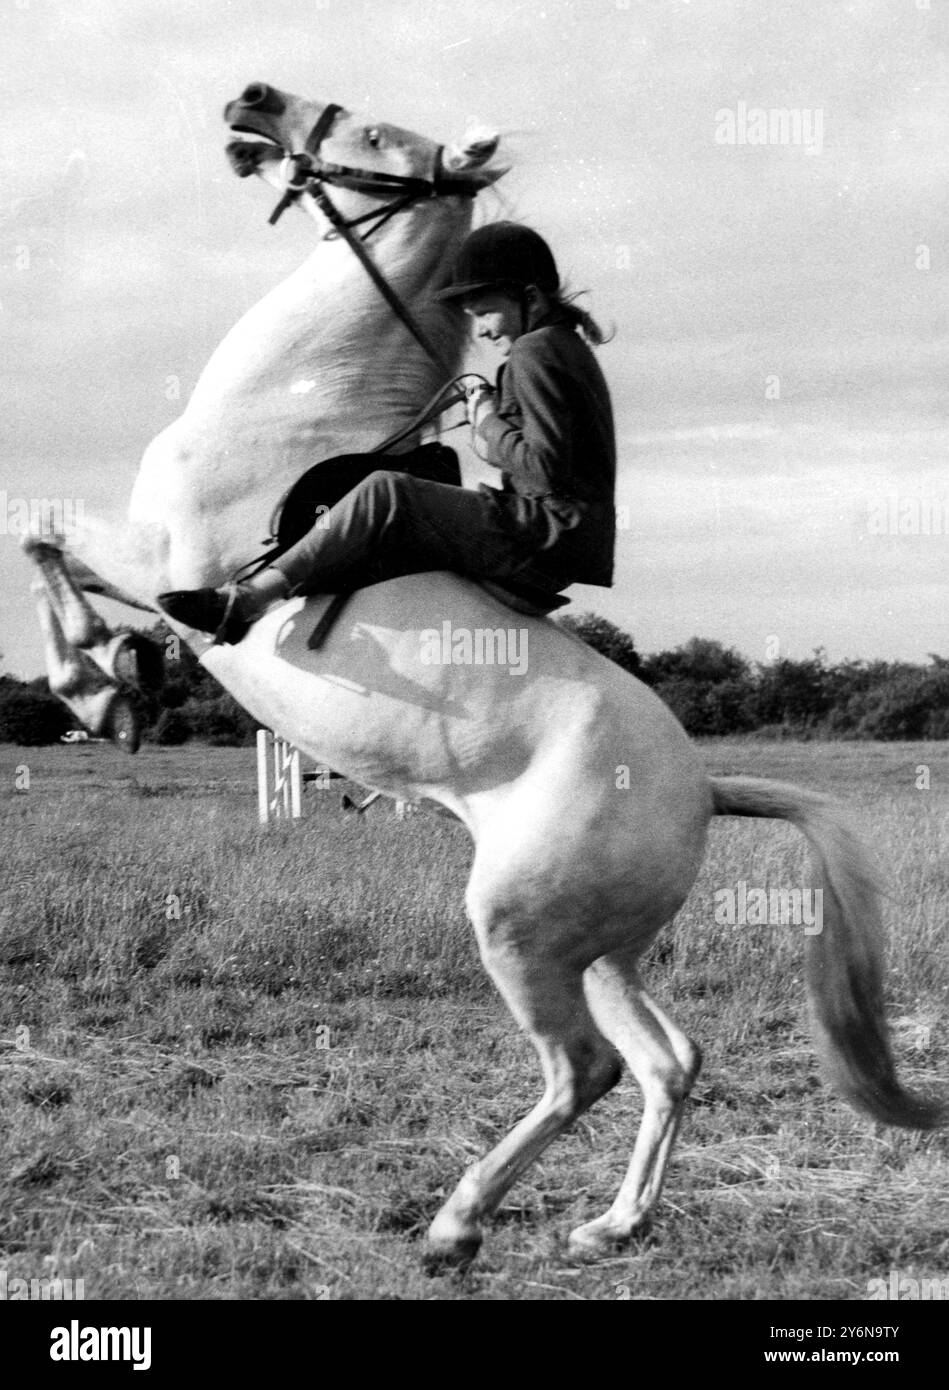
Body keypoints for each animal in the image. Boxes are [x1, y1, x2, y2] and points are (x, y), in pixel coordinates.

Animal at [23, 81, 943, 1270]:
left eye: (371, 133)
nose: (253, 100)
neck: (299, 397)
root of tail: (701, 786)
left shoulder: (162, 556)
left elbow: (39, 528)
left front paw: (101, 686)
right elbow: (48, 545)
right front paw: (117, 678)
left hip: (516, 927)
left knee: (584, 1070)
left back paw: (457, 1224)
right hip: (593, 950)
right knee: (667, 1061)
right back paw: (609, 1225)